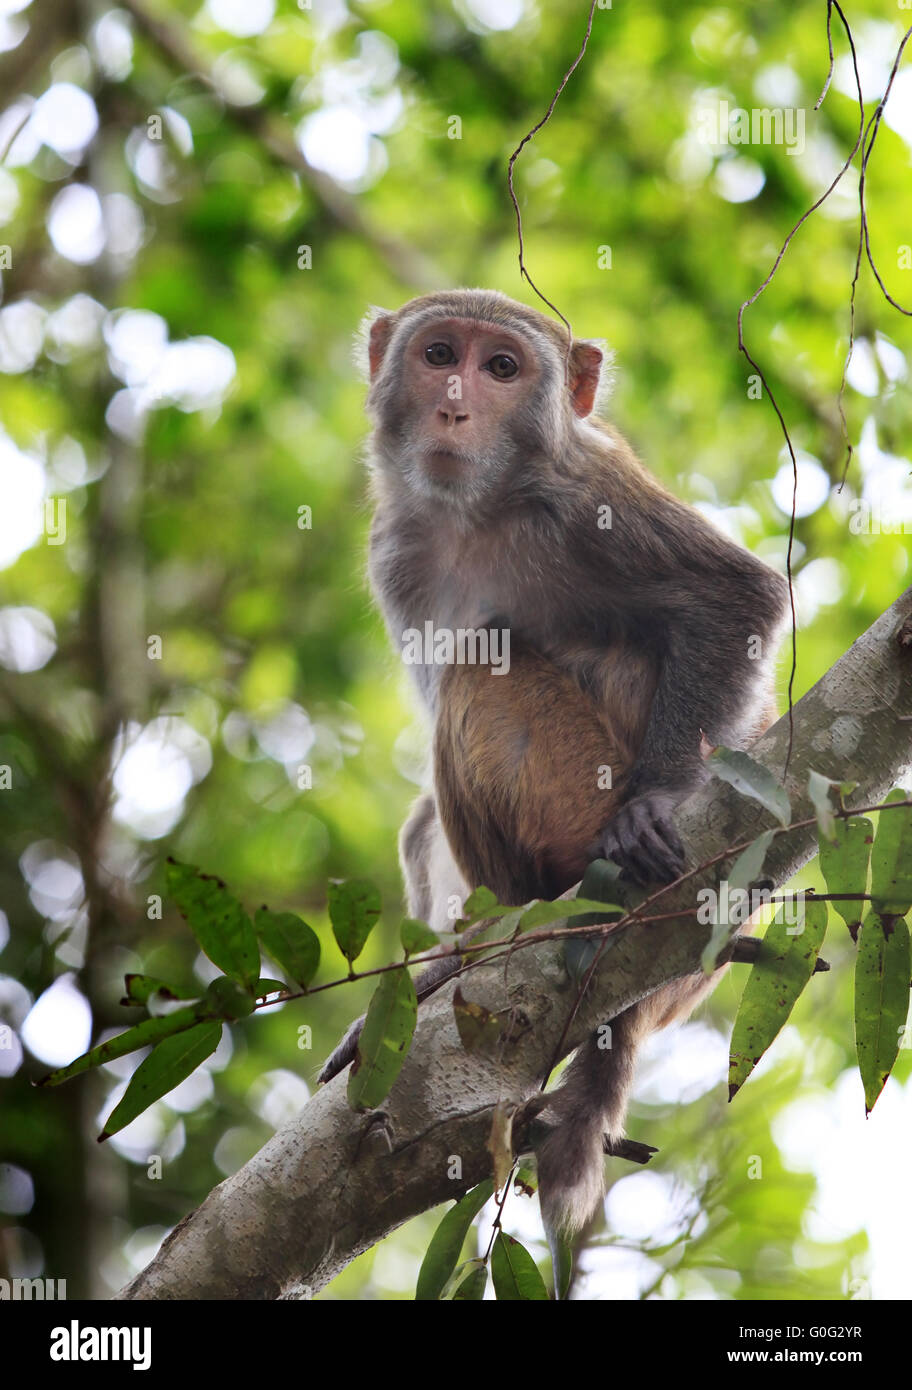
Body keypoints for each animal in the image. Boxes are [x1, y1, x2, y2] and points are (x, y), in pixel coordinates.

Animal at [319, 287, 789, 1239]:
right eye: (439, 354)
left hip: (576, 793)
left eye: (502, 368)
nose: (454, 404)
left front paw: (660, 798)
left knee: (483, 660)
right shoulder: (398, 552)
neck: (481, 512)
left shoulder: (588, 497)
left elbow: (739, 598)